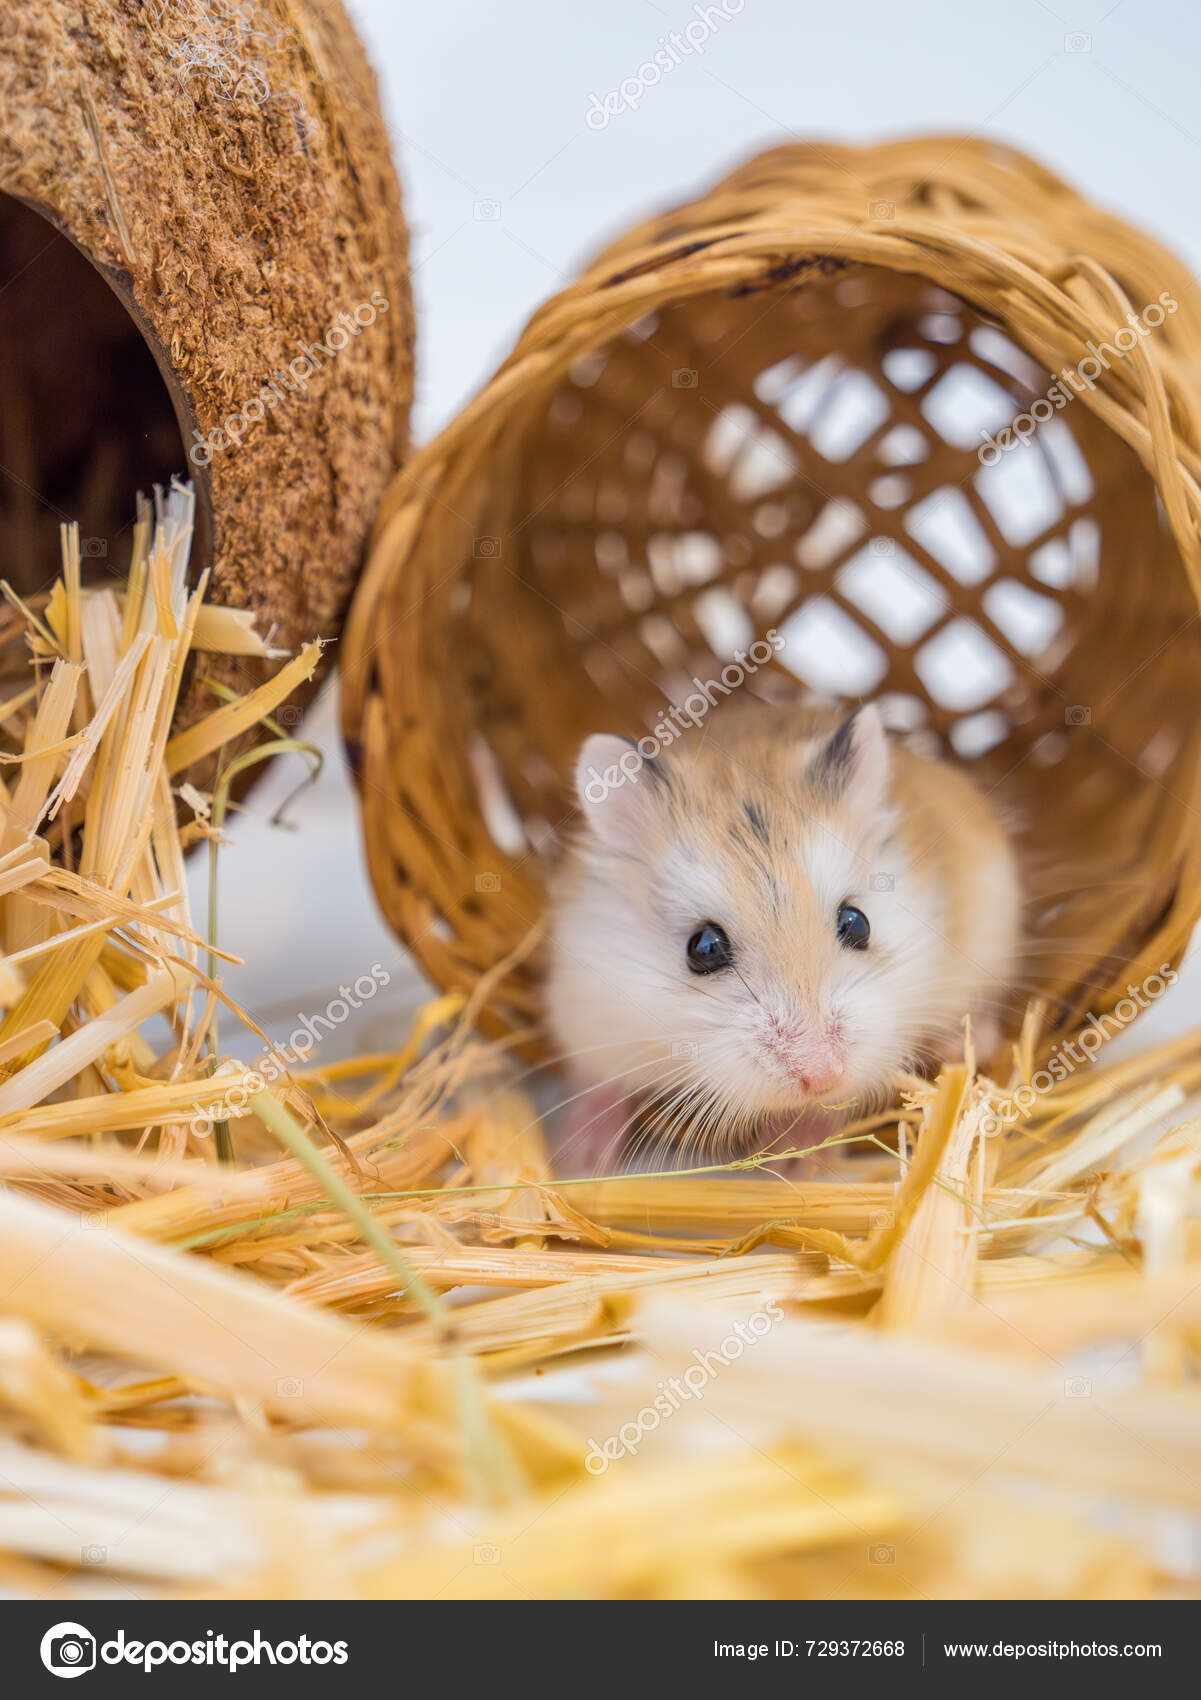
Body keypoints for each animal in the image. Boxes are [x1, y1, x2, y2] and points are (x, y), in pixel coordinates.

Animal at [544, 700, 1021, 1171]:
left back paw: (961, 1044)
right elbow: (597, 1083)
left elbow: (832, 1106)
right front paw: (575, 1159)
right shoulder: (587, 1016)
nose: (821, 1075)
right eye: (703, 948)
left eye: (858, 923)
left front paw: (789, 1159)